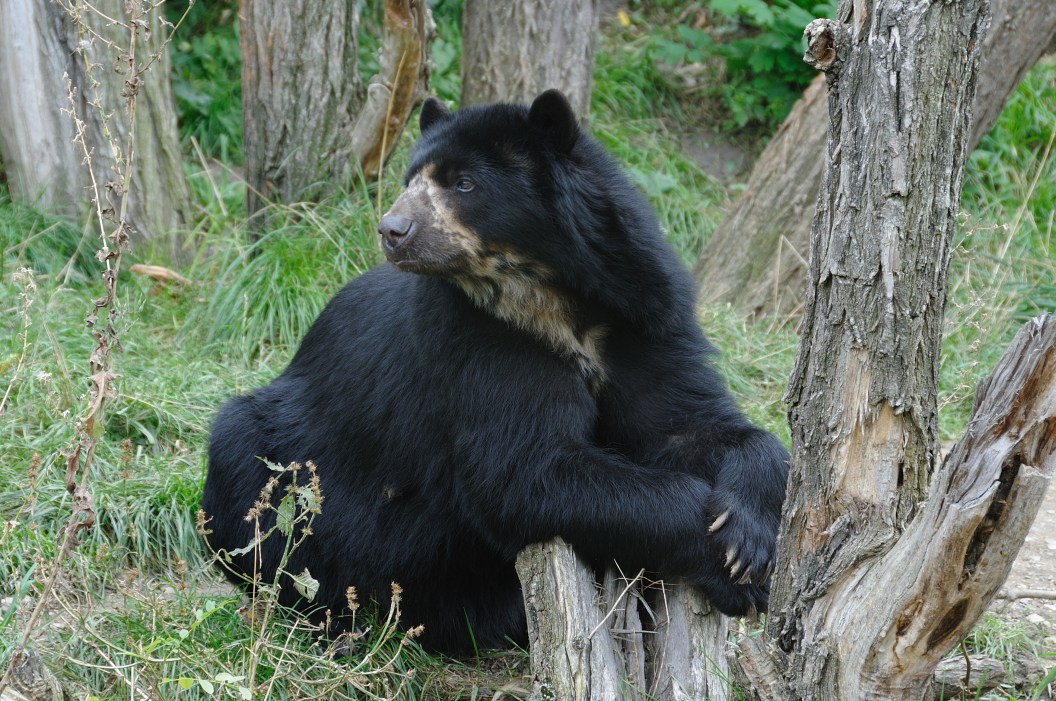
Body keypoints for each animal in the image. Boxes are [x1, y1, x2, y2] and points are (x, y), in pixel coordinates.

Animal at [201, 89, 790, 654]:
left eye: (463, 183)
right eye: (411, 181)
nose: (392, 229)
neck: (546, 295)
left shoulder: (644, 321)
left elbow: (692, 425)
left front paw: (747, 540)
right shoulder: (476, 345)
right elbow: (526, 472)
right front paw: (733, 571)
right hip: (292, 460)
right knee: (257, 501)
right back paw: (334, 625)